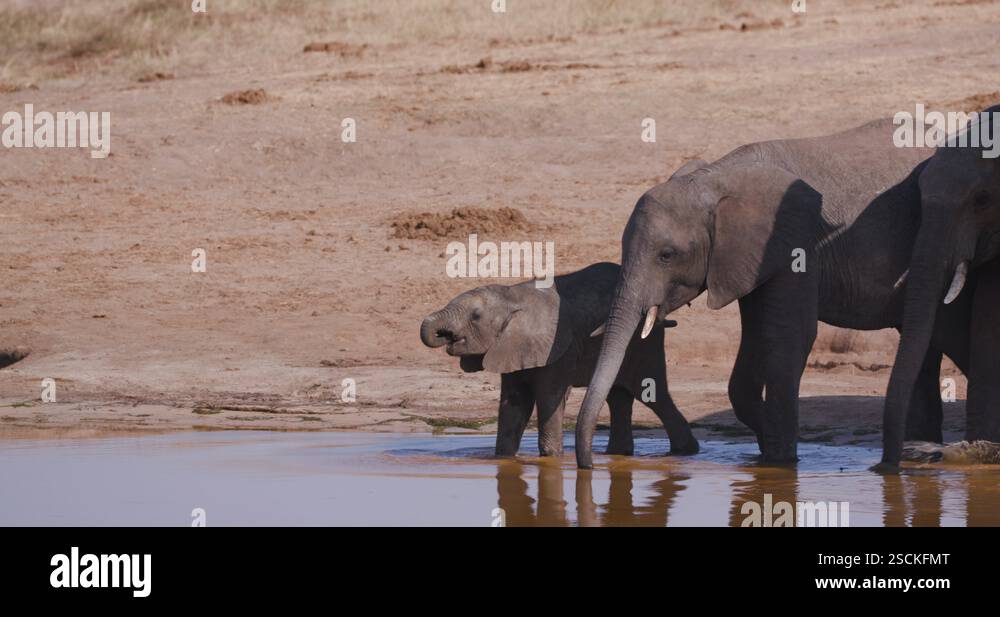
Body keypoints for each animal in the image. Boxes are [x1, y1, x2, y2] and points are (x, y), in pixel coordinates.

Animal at [419, 262, 699, 457]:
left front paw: (552, 457)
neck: (512, 296)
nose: (445, 335)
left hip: (644, 343)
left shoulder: (557, 349)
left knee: (651, 394)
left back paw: (685, 452)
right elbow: (514, 404)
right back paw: (619, 454)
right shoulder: (511, 347)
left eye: (475, 316)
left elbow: (549, 398)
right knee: (618, 398)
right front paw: (503, 458)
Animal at [575, 117, 973, 469]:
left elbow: (788, 336)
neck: (716, 178)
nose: (590, 465)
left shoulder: (797, 237)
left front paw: (781, 463)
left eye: (666, 255)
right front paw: (766, 453)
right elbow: (753, 346)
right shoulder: (746, 258)